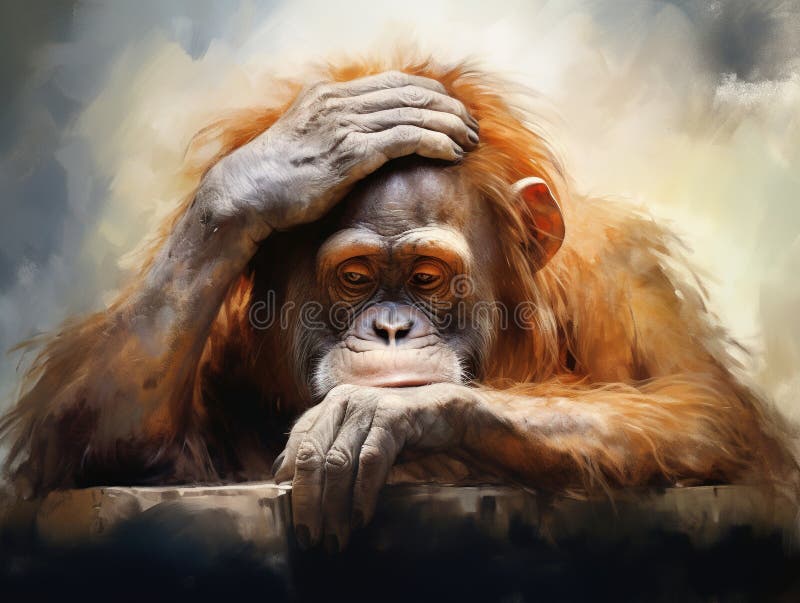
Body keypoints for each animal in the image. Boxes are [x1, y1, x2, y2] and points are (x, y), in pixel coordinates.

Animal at [1, 56, 797, 553]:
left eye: (426, 276)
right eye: (355, 276)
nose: (389, 327)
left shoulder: (621, 271)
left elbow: (705, 408)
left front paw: (390, 413)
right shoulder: (221, 356)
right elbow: (116, 448)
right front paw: (282, 161)